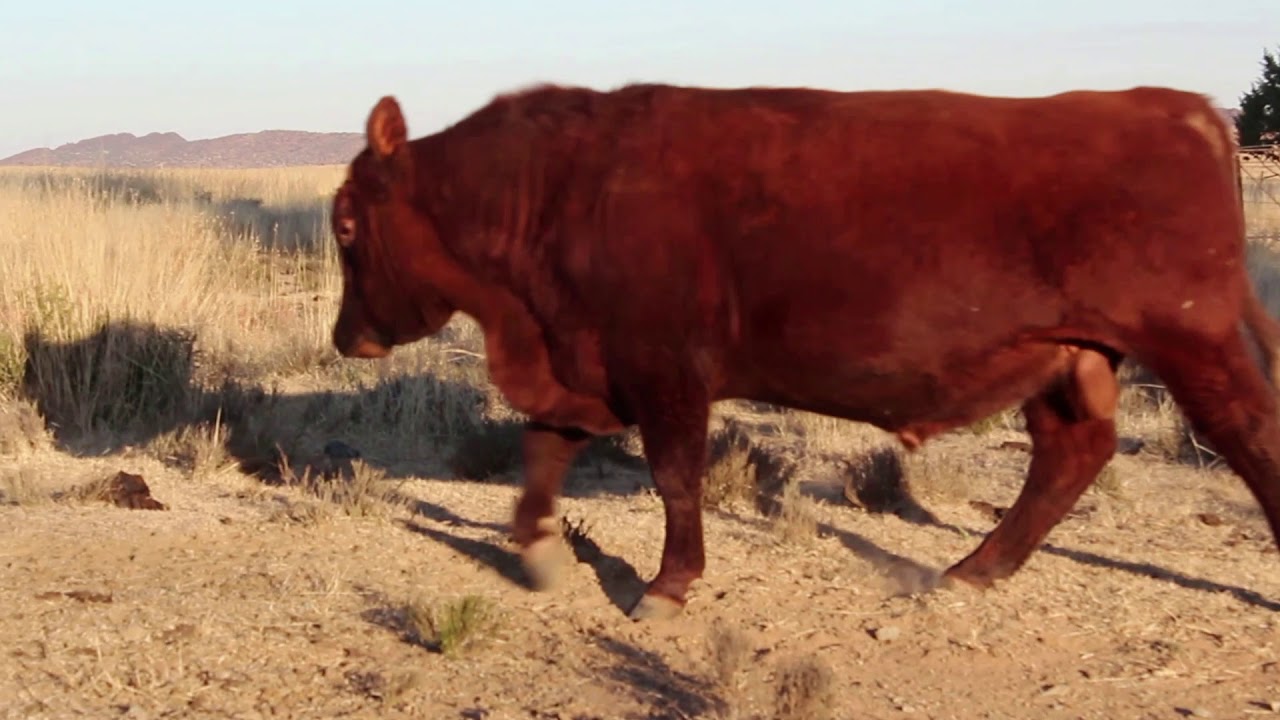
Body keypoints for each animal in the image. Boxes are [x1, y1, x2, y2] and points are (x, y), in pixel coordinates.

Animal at [329, 81, 1280, 621]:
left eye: (345, 224)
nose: (347, 337)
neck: (556, 183)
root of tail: (1175, 106)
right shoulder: (586, 366)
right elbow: (544, 448)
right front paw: (534, 548)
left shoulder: (666, 373)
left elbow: (675, 476)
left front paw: (665, 590)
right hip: (1070, 358)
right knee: (1068, 455)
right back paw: (968, 574)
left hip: (1193, 345)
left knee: (1249, 440)